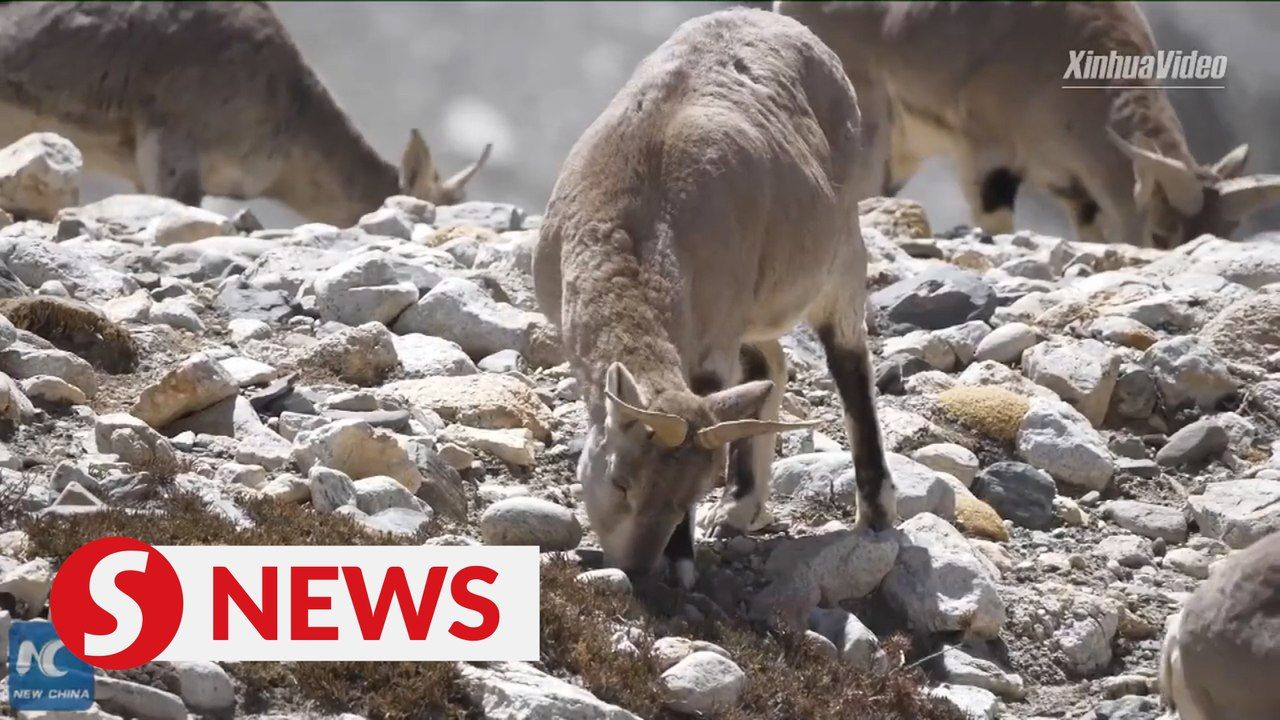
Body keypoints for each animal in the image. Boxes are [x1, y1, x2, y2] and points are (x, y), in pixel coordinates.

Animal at [533, 8, 896, 586]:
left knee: (848, 360)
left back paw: (876, 509)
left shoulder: (715, 338)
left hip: (840, 250)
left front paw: (683, 560)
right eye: (619, 481)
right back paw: (742, 507)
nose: (638, 570)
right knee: (769, 366)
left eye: (688, 498)